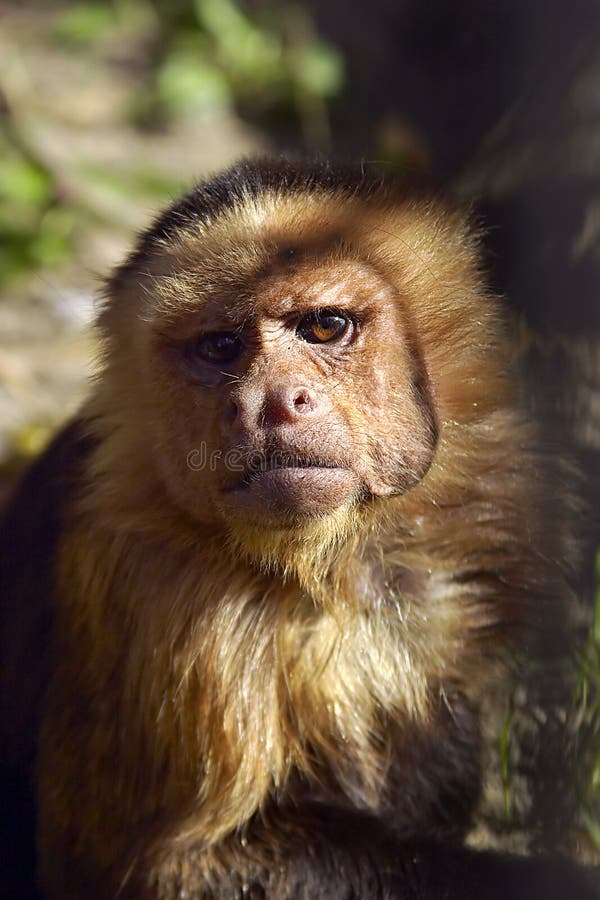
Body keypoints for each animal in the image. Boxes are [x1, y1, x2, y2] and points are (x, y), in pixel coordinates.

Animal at [1, 157, 598, 898]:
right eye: (221, 348)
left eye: (325, 327)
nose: (272, 402)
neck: (332, 561)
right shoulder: (159, 592)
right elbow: (173, 868)